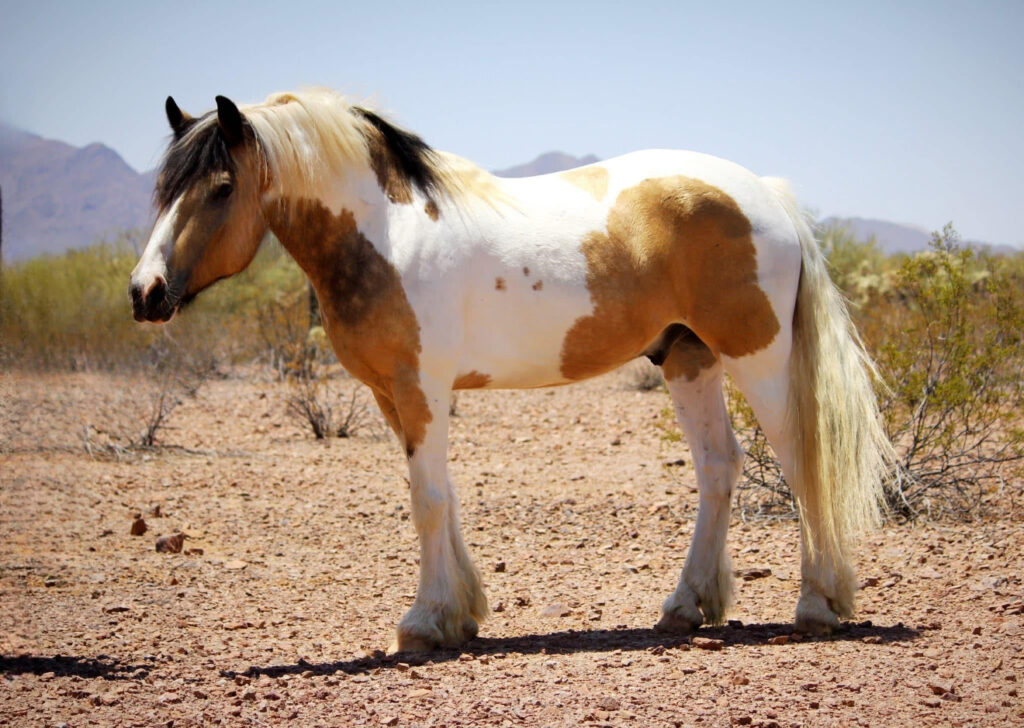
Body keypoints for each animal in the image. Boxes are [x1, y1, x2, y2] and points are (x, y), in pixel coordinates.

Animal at [129, 88, 893, 652]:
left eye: (221, 186)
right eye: (163, 188)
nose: (146, 293)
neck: (385, 232)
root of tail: (765, 192)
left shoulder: (422, 389)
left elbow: (427, 500)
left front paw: (424, 622)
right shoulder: (392, 395)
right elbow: (438, 496)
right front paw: (459, 613)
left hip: (755, 356)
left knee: (801, 460)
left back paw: (819, 602)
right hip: (688, 357)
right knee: (718, 467)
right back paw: (687, 606)